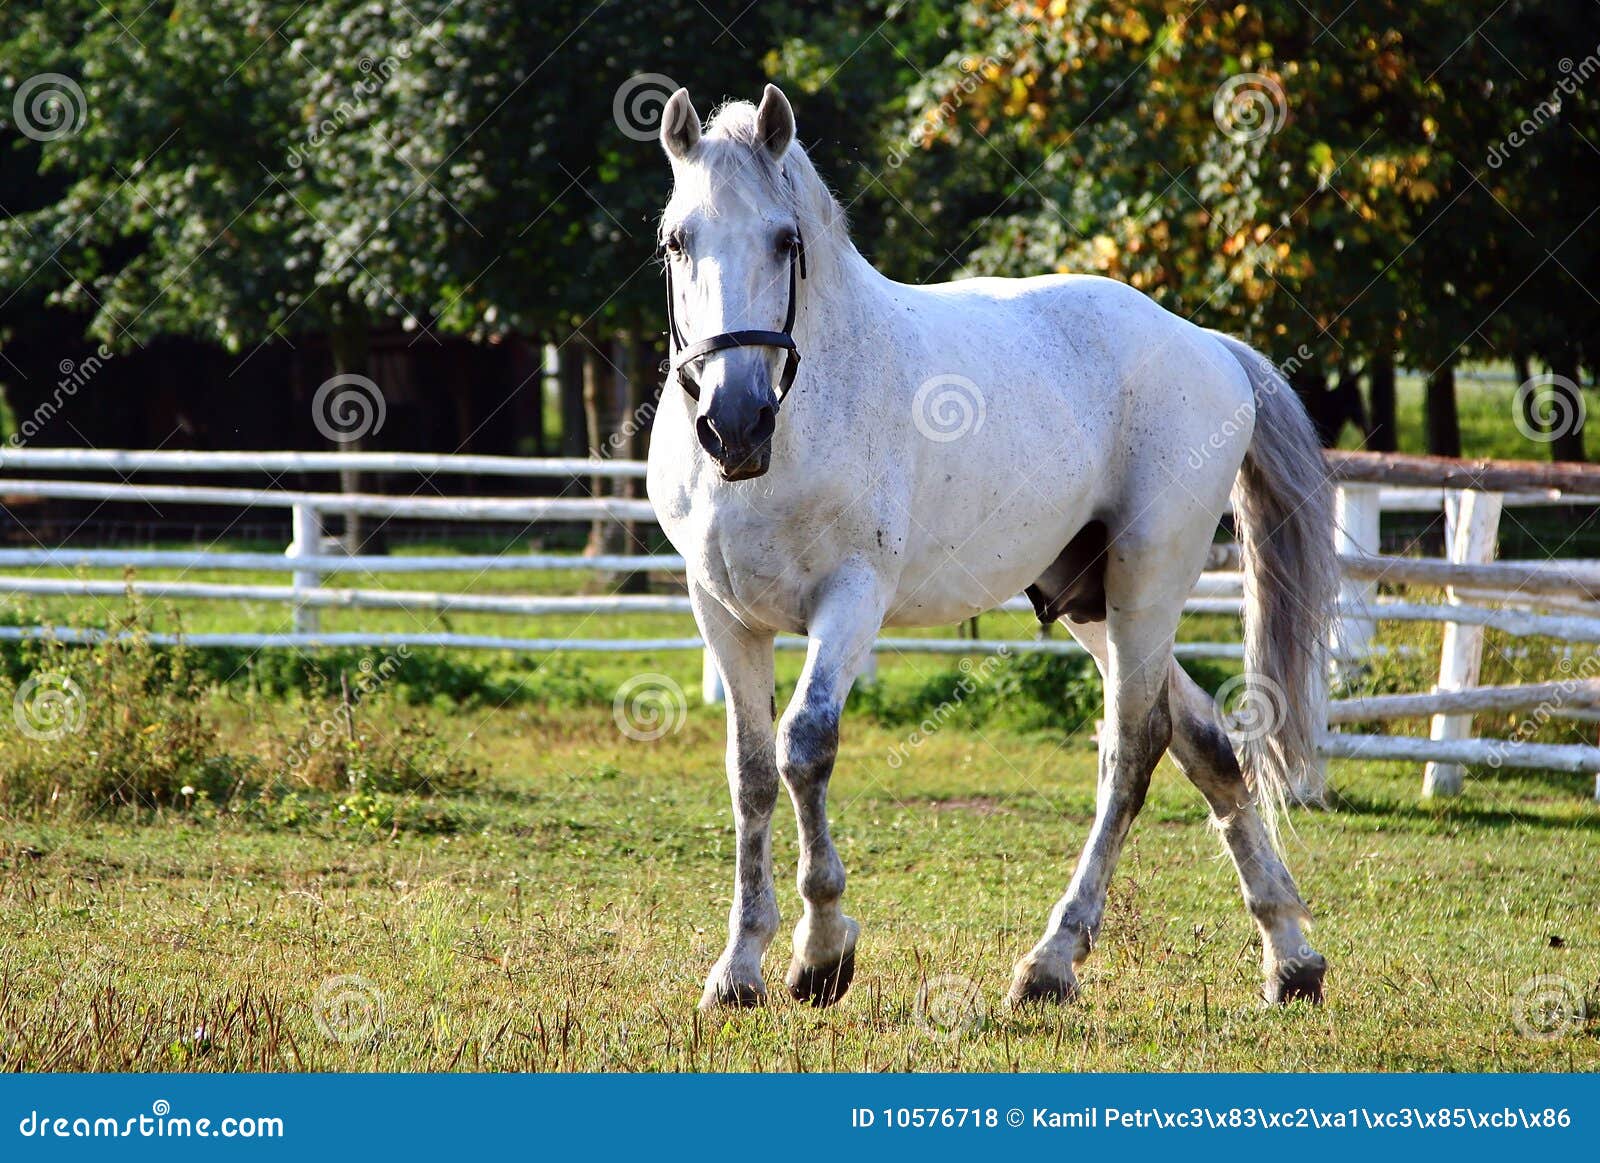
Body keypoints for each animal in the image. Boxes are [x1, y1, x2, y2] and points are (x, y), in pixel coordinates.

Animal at [645, 84, 1335, 1012]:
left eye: (785, 240)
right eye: (676, 240)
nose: (734, 421)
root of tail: (1203, 343)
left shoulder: (851, 598)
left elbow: (805, 746)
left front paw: (823, 951)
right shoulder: (722, 611)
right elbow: (752, 770)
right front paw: (739, 966)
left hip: (1147, 586)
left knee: (1132, 748)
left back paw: (1051, 960)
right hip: (1090, 601)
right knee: (1205, 741)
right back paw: (1290, 955)